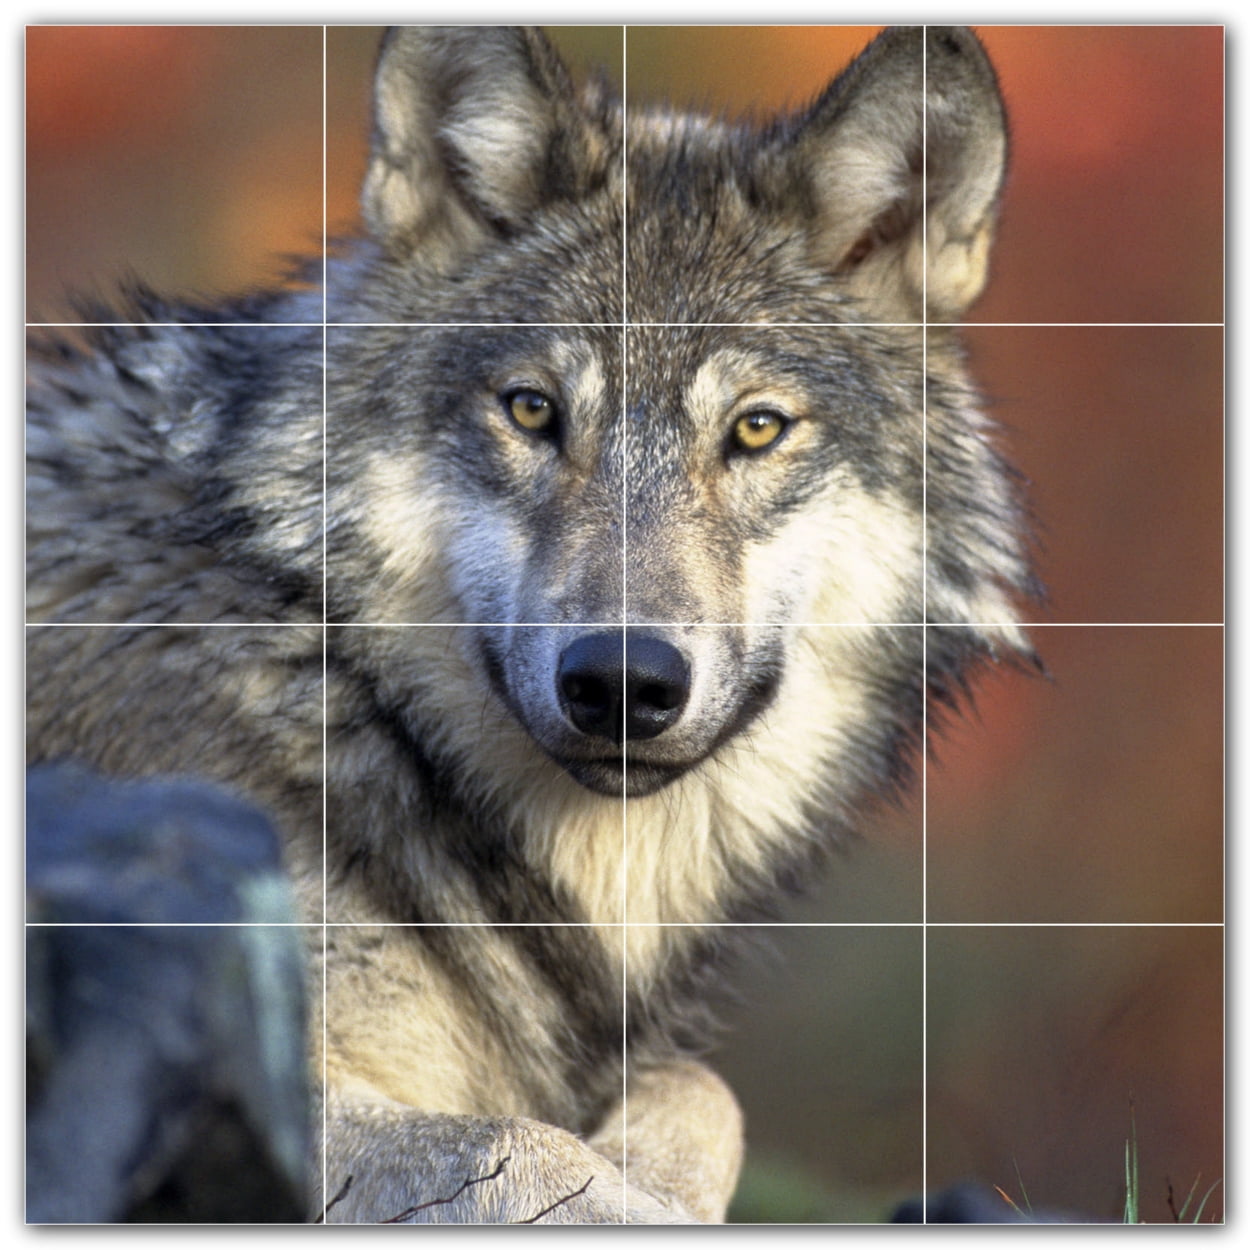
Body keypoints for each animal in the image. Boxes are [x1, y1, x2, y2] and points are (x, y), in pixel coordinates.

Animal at [26, 25, 1034, 1223]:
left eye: (755, 428)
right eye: (532, 410)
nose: (622, 681)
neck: (326, 683)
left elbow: (702, 1089)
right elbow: (520, 1144)